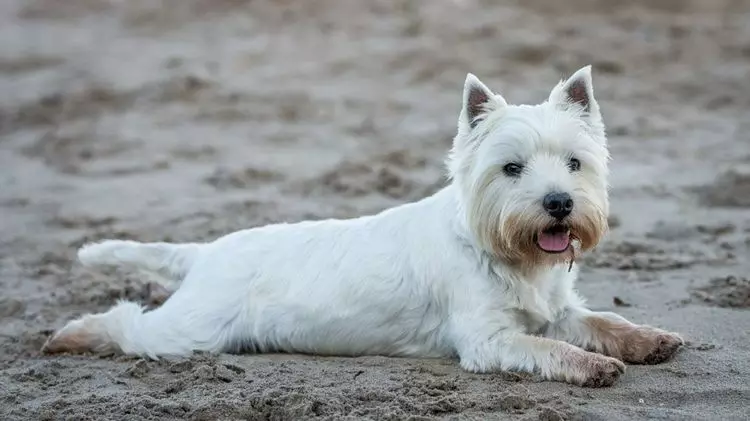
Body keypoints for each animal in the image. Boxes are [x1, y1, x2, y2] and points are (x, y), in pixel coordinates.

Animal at [42, 66, 688, 388]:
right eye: (512, 168)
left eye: (575, 163)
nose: (557, 203)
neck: (514, 257)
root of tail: (204, 253)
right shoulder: (488, 339)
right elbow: (549, 348)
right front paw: (596, 366)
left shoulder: (559, 308)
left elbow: (601, 322)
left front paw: (651, 340)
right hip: (193, 331)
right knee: (130, 324)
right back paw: (70, 335)